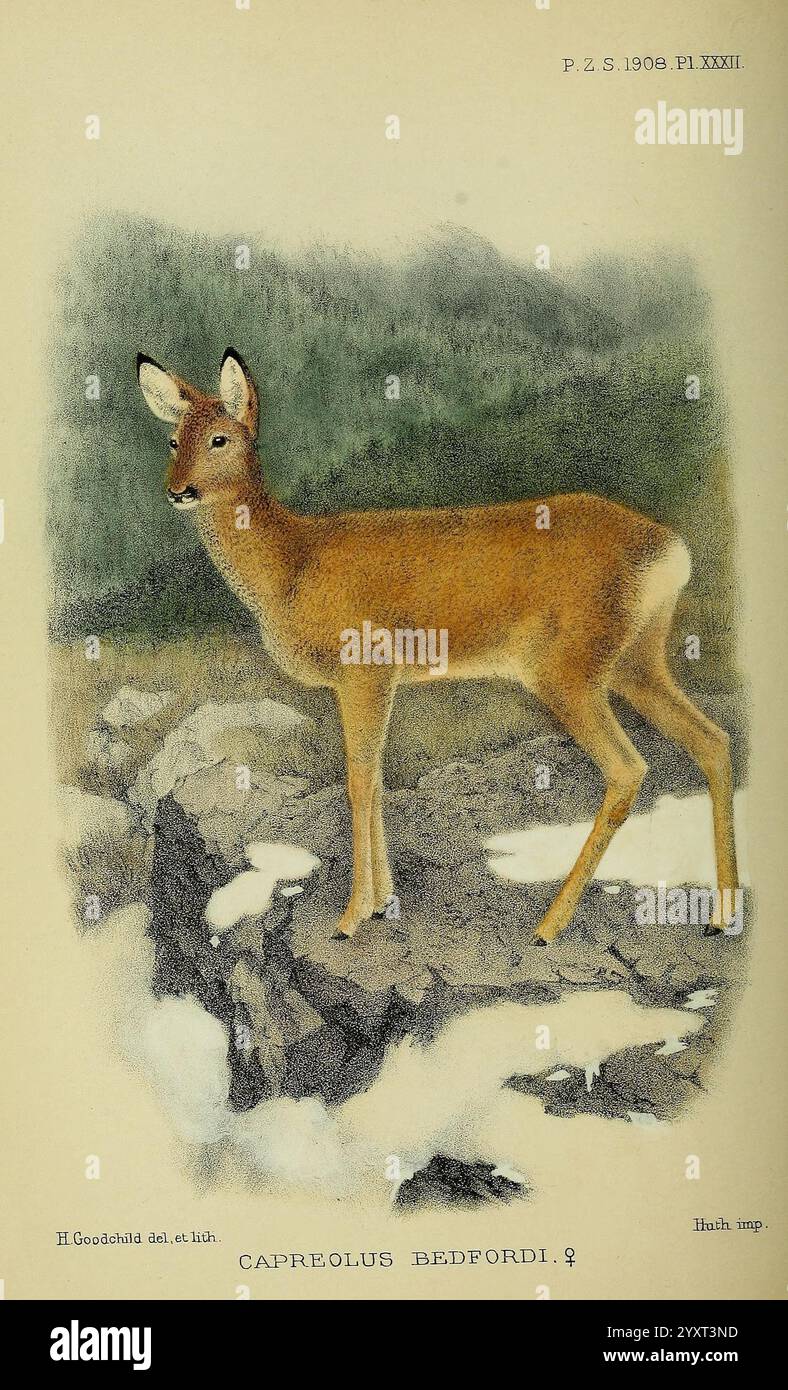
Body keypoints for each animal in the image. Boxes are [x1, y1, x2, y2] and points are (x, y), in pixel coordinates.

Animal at [137, 349, 738, 944]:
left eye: (221, 438)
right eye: (173, 439)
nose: (178, 490)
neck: (292, 566)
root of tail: (670, 549)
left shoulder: (364, 671)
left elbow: (358, 783)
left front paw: (351, 917)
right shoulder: (378, 682)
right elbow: (378, 780)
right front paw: (383, 904)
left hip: (569, 669)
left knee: (629, 768)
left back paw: (548, 925)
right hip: (636, 661)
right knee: (713, 739)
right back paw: (720, 917)